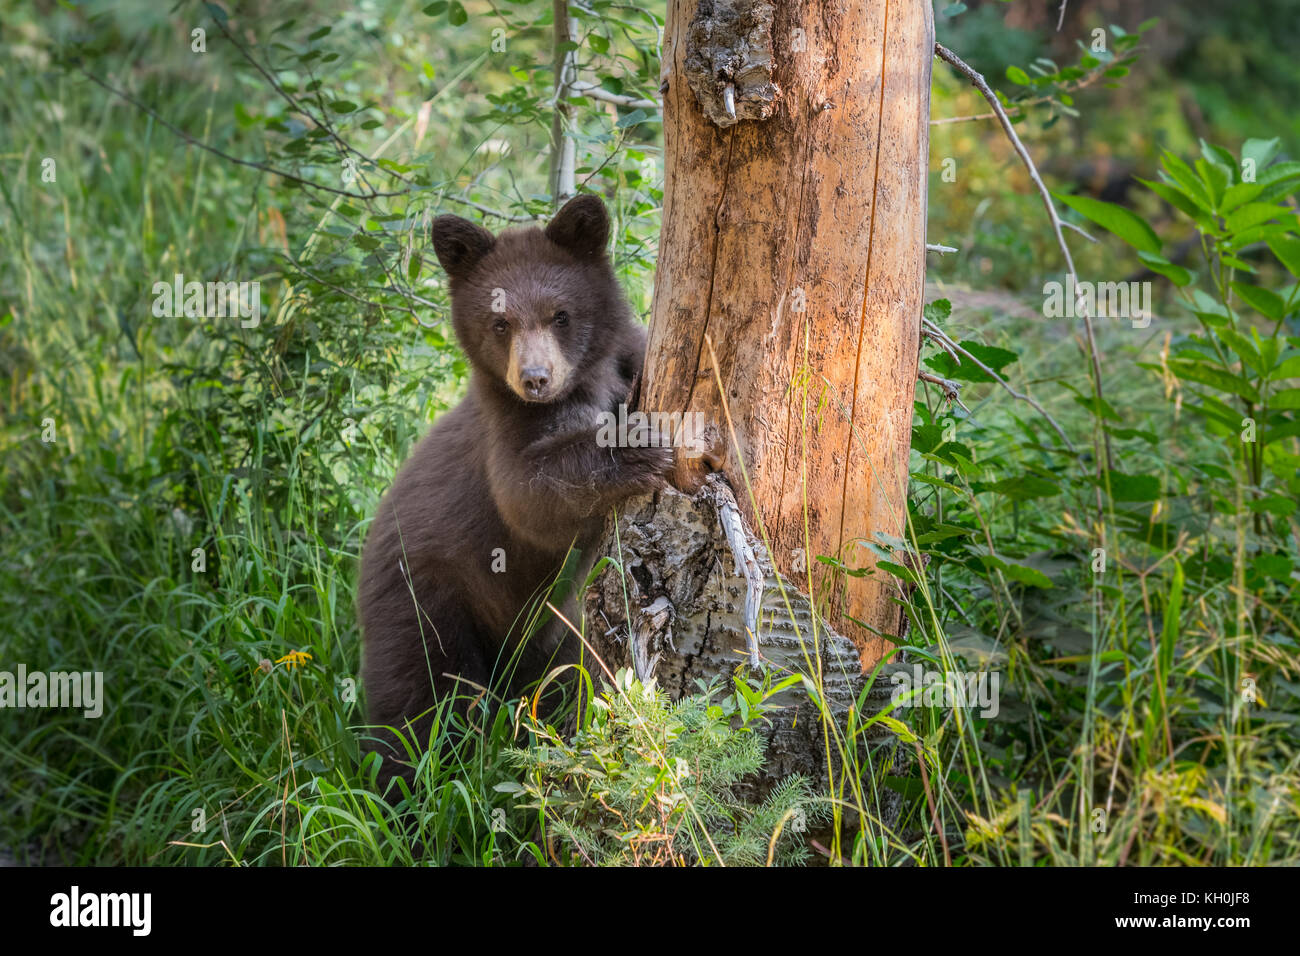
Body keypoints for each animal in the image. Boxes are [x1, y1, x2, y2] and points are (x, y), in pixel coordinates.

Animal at [358, 194, 684, 792]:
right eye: (500, 322)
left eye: (561, 314)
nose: (535, 378)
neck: (581, 385)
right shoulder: (505, 429)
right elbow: (527, 496)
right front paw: (639, 446)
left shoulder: (629, 356)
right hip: (422, 601)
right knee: (418, 706)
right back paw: (407, 790)